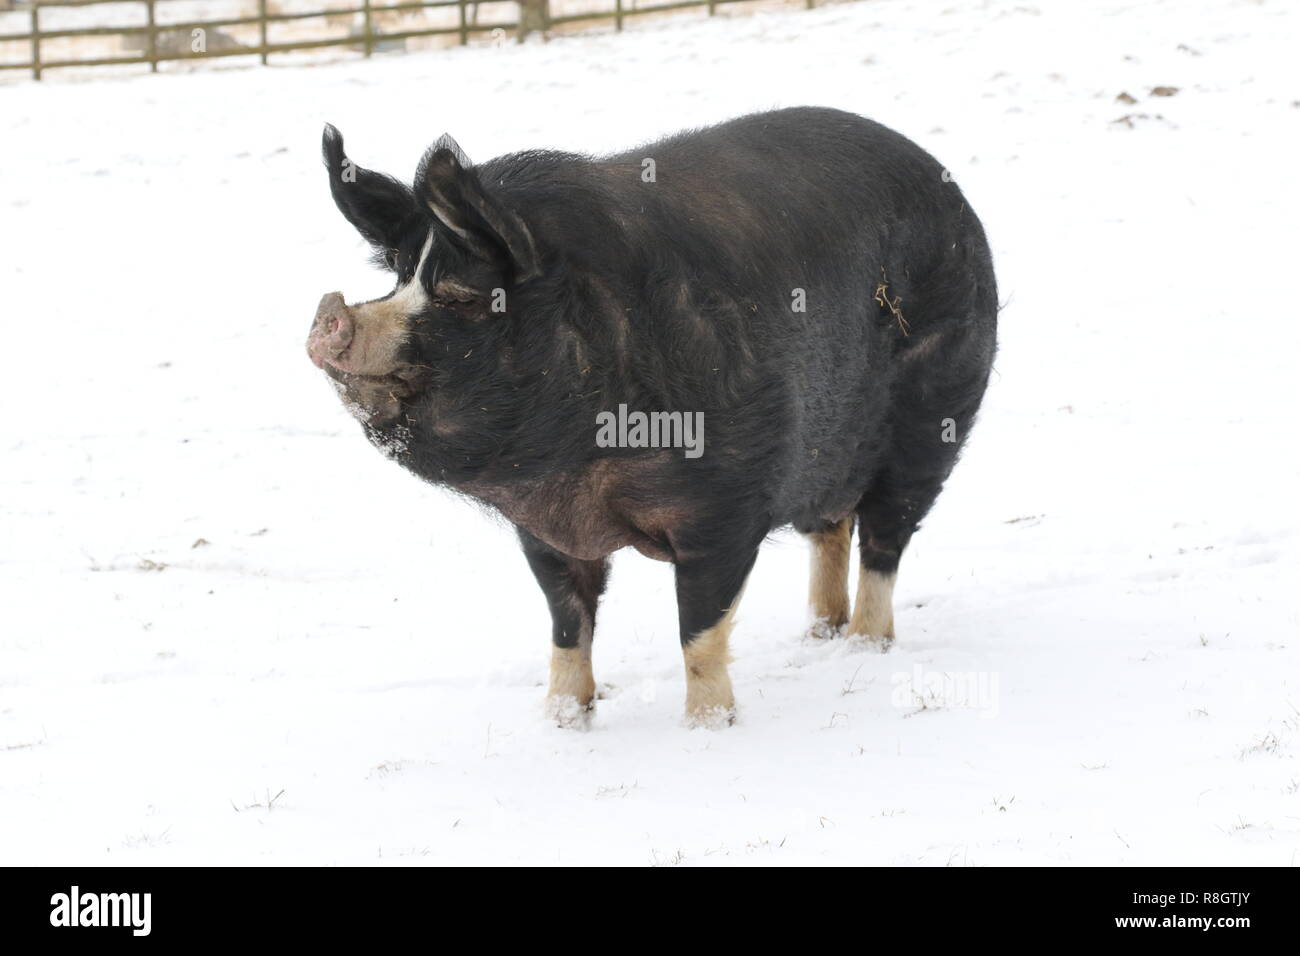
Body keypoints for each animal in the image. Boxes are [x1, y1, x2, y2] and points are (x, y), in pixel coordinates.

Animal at [307, 107, 997, 727]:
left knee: (885, 537)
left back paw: (863, 646)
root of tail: (950, 190)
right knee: (830, 528)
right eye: (399, 279)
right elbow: (566, 625)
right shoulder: (546, 531)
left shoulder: (726, 508)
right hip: (828, 457)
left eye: (464, 298)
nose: (329, 314)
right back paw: (819, 635)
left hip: (932, 423)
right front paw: (561, 722)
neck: (582, 457)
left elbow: (699, 629)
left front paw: (707, 728)